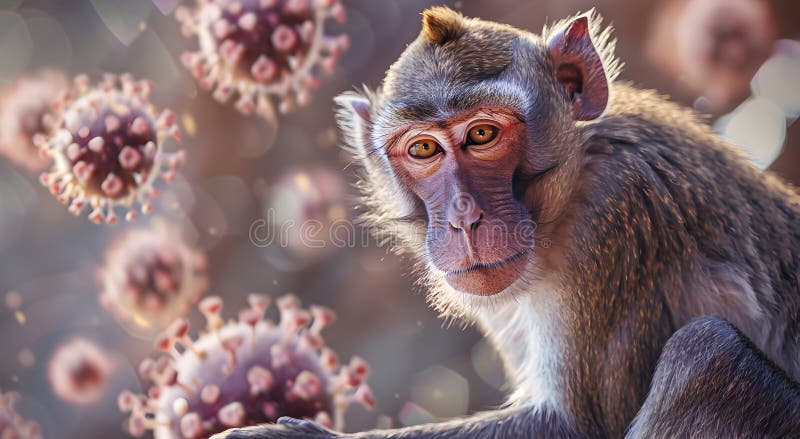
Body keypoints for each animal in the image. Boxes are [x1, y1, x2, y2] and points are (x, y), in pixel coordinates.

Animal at [216, 6, 800, 438]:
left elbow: (573, 427)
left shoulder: (616, 215)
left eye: (481, 135)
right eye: (423, 148)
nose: (463, 217)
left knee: (709, 357)